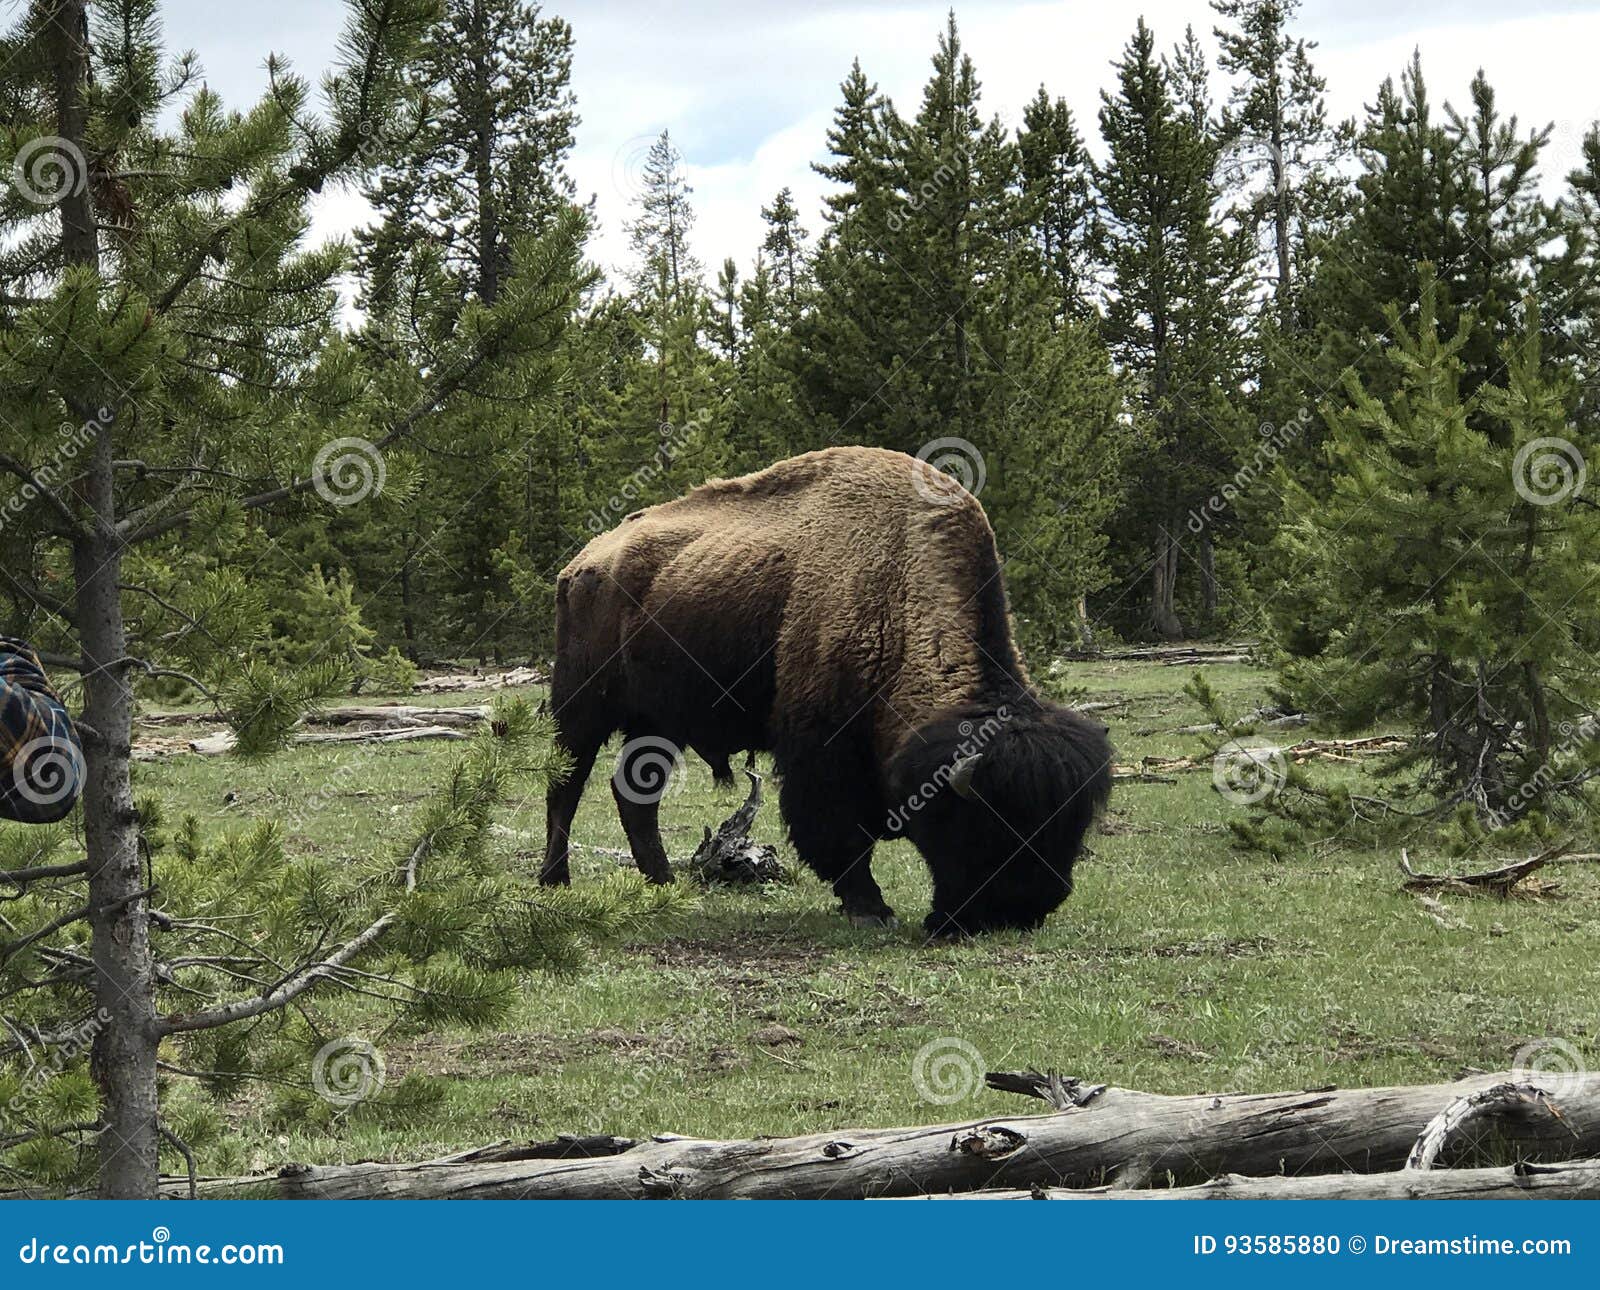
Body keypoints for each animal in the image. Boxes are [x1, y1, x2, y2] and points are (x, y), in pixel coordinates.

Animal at [542, 446, 1113, 938]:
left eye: (1072, 829)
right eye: (991, 828)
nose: (1026, 909)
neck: (897, 590)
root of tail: (582, 563)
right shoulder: (821, 750)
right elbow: (836, 831)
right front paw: (870, 908)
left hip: (657, 725)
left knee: (635, 794)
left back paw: (663, 883)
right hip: (580, 705)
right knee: (566, 787)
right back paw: (556, 881)